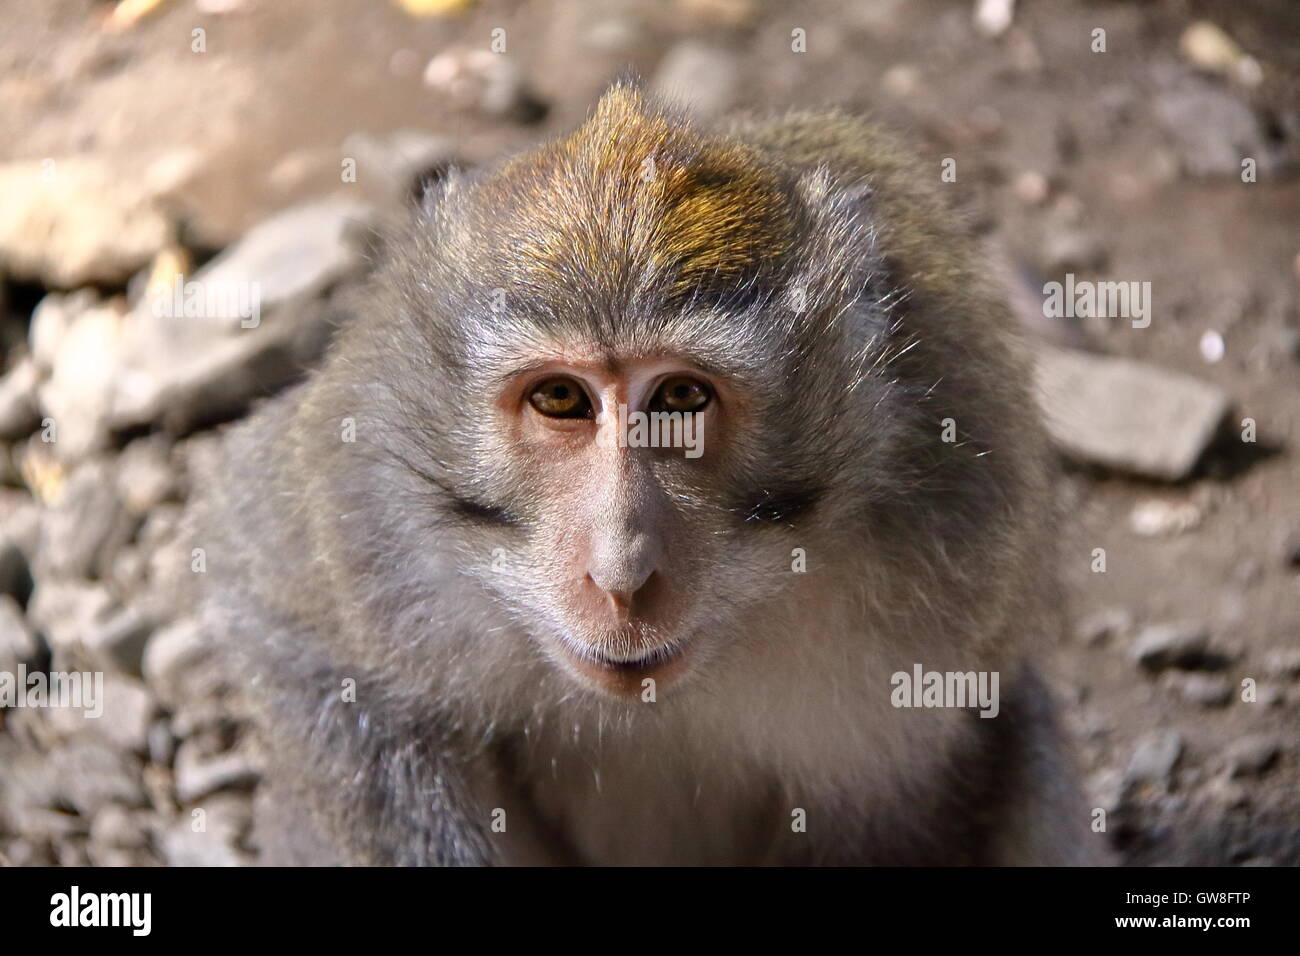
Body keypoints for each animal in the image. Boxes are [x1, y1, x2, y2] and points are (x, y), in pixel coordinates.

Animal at [192, 84, 1100, 866]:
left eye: (682, 398)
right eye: (560, 398)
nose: (622, 575)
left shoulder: (958, 535)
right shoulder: (366, 499)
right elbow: (293, 633)